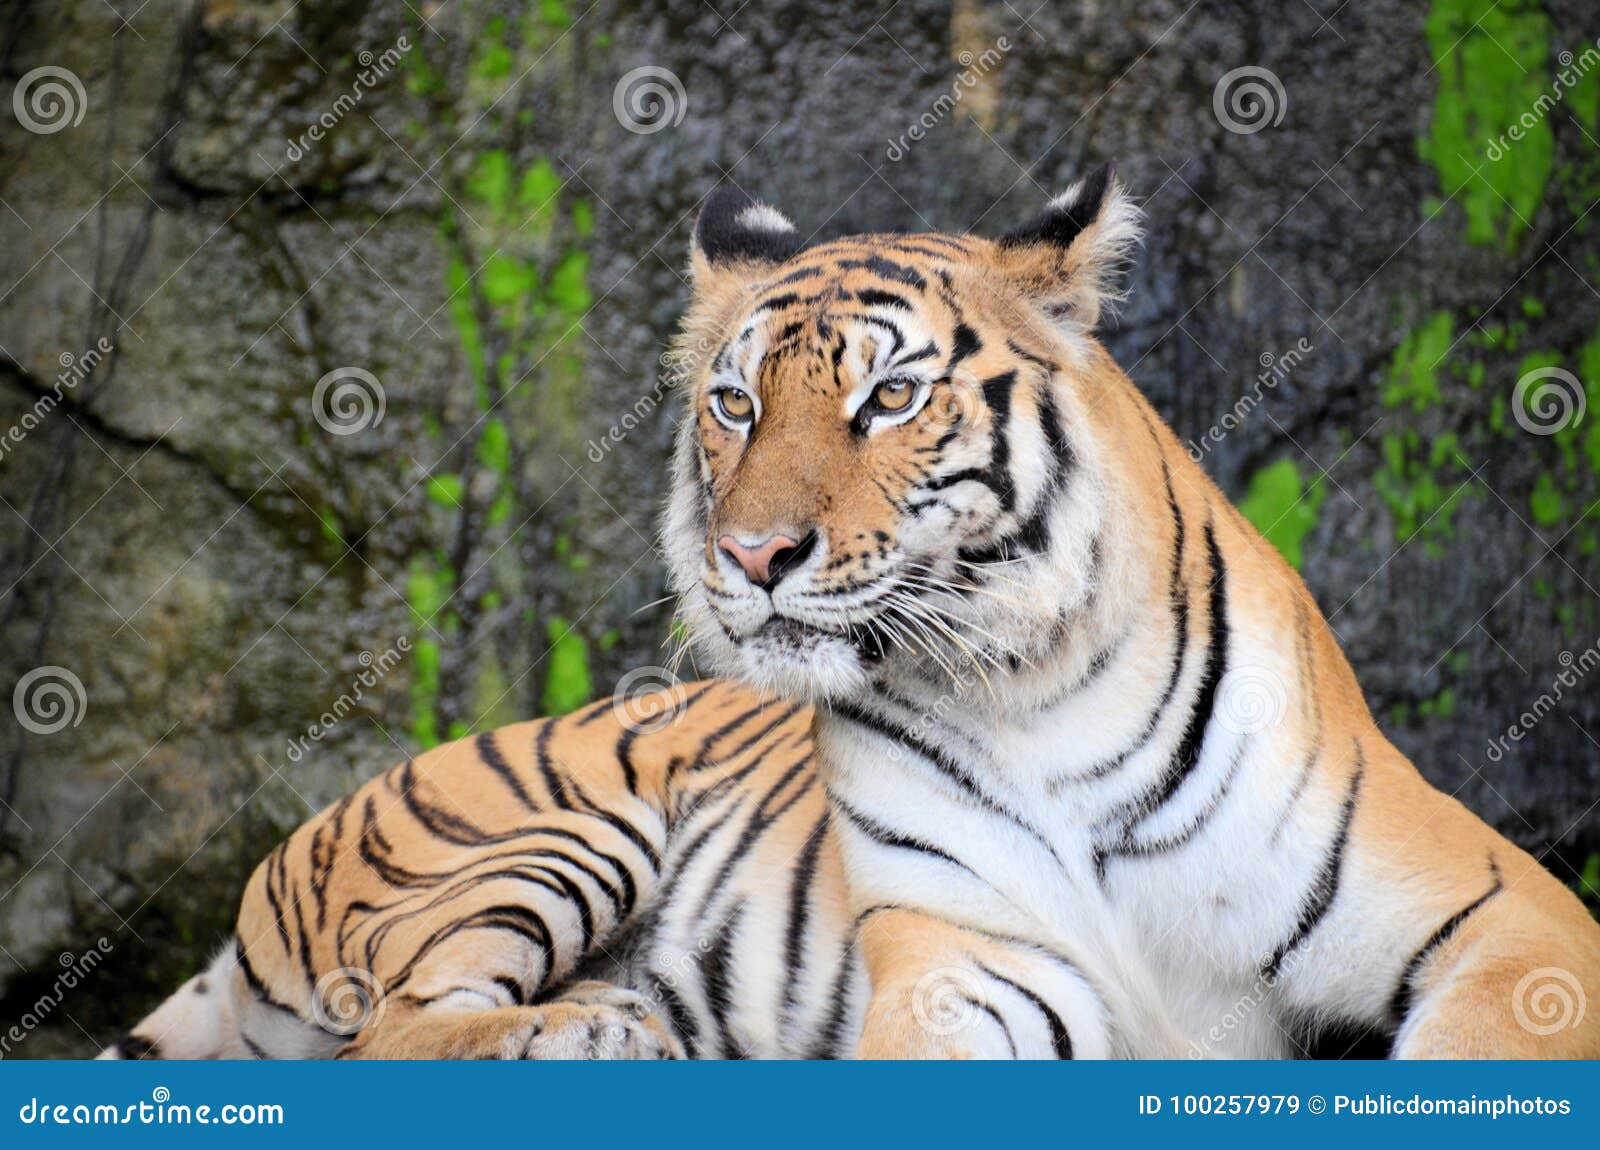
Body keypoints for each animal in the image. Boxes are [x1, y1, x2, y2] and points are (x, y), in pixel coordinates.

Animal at [105, 165, 1600, 1060]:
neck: (1034, 687)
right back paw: (598, 1029)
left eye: (888, 397)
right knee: (399, 1031)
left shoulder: (1515, 925)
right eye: (734, 402)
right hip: (543, 833)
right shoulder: (966, 964)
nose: (753, 552)